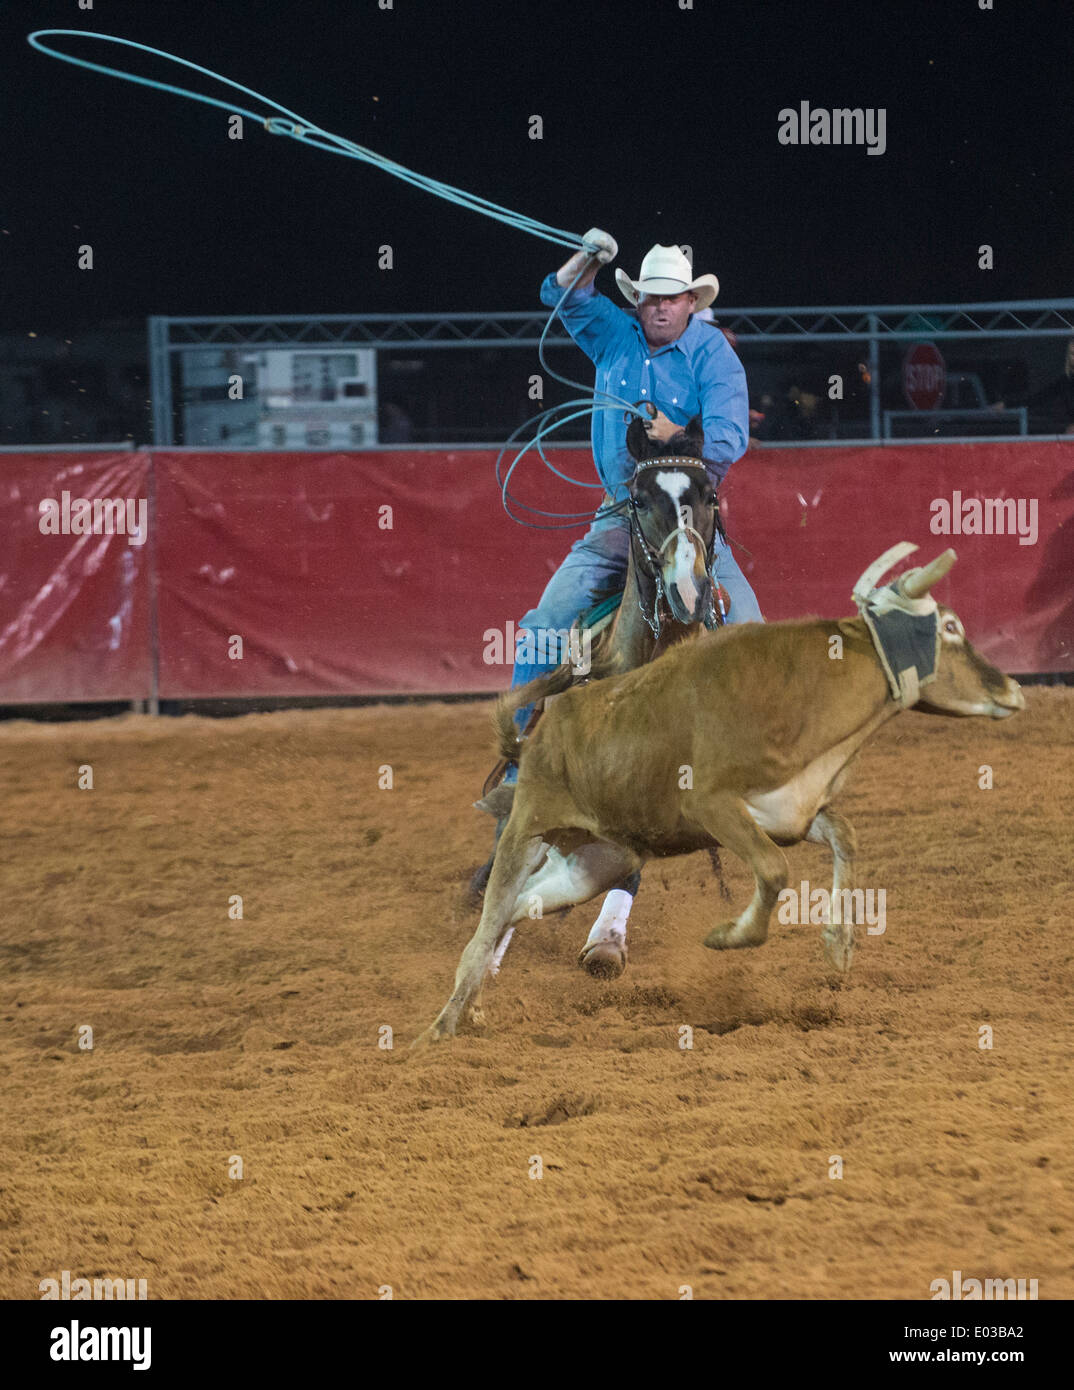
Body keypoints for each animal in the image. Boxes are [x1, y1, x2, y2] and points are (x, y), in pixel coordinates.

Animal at [412, 543, 1024, 1047]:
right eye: (950, 627)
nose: (1014, 689)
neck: (805, 693)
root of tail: (541, 731)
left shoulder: (789, 810)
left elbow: (843, 836)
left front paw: (839, 942)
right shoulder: (710, 806)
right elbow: (774, 870)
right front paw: (729, 936)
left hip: (597, 861)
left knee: (520, 907)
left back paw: (472, 1008)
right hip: (527, 830)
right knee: (488, 923)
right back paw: (438, 1031)